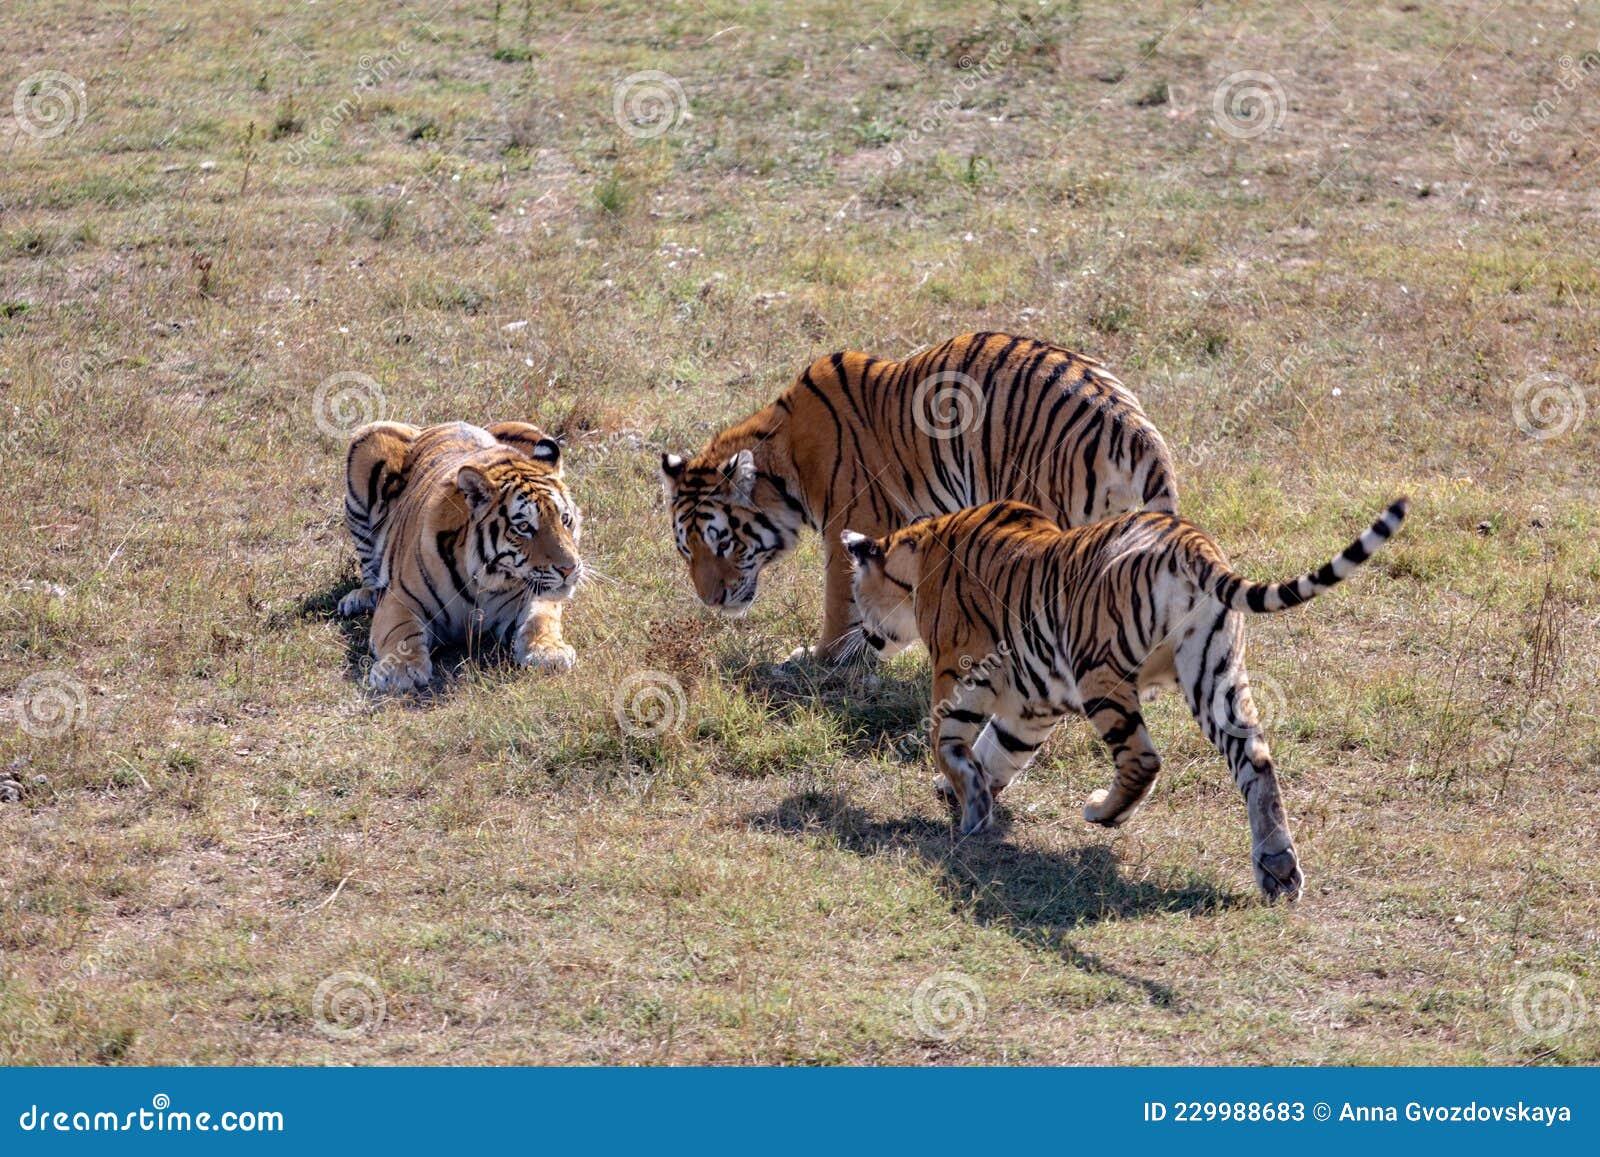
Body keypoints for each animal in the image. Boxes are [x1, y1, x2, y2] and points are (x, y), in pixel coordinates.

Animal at [339, 420, 583, 692]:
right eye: (523, 527)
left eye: (565, 519)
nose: (569, 569)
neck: (487, 580)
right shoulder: (400, 598)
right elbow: (401, 631)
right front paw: (400, 671)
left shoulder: (533, 596)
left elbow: (541, 617)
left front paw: (549, 652)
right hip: (369, 439)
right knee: (370, 571)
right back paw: (359, 599)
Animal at [659, 332, 1177, 665]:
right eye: (687, 550)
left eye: (725, 543)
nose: (711, 601)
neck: (785, 459)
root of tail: (1130, 421)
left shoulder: (851, 521)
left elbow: (839, 602)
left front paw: (820, 659)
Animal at [842, 496, 1410, 901]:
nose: (861, 635)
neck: (920, 549)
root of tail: (1189, 539)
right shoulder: (1029, 708)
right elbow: (996, 751)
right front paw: (962, 795)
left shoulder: (957, 673)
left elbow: (949, 745)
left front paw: (970, 811)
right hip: (1215, 675)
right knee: (1257, 762)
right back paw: (1278, 870)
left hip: (1099, 672)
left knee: (1143, 759)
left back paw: (1103, 812)